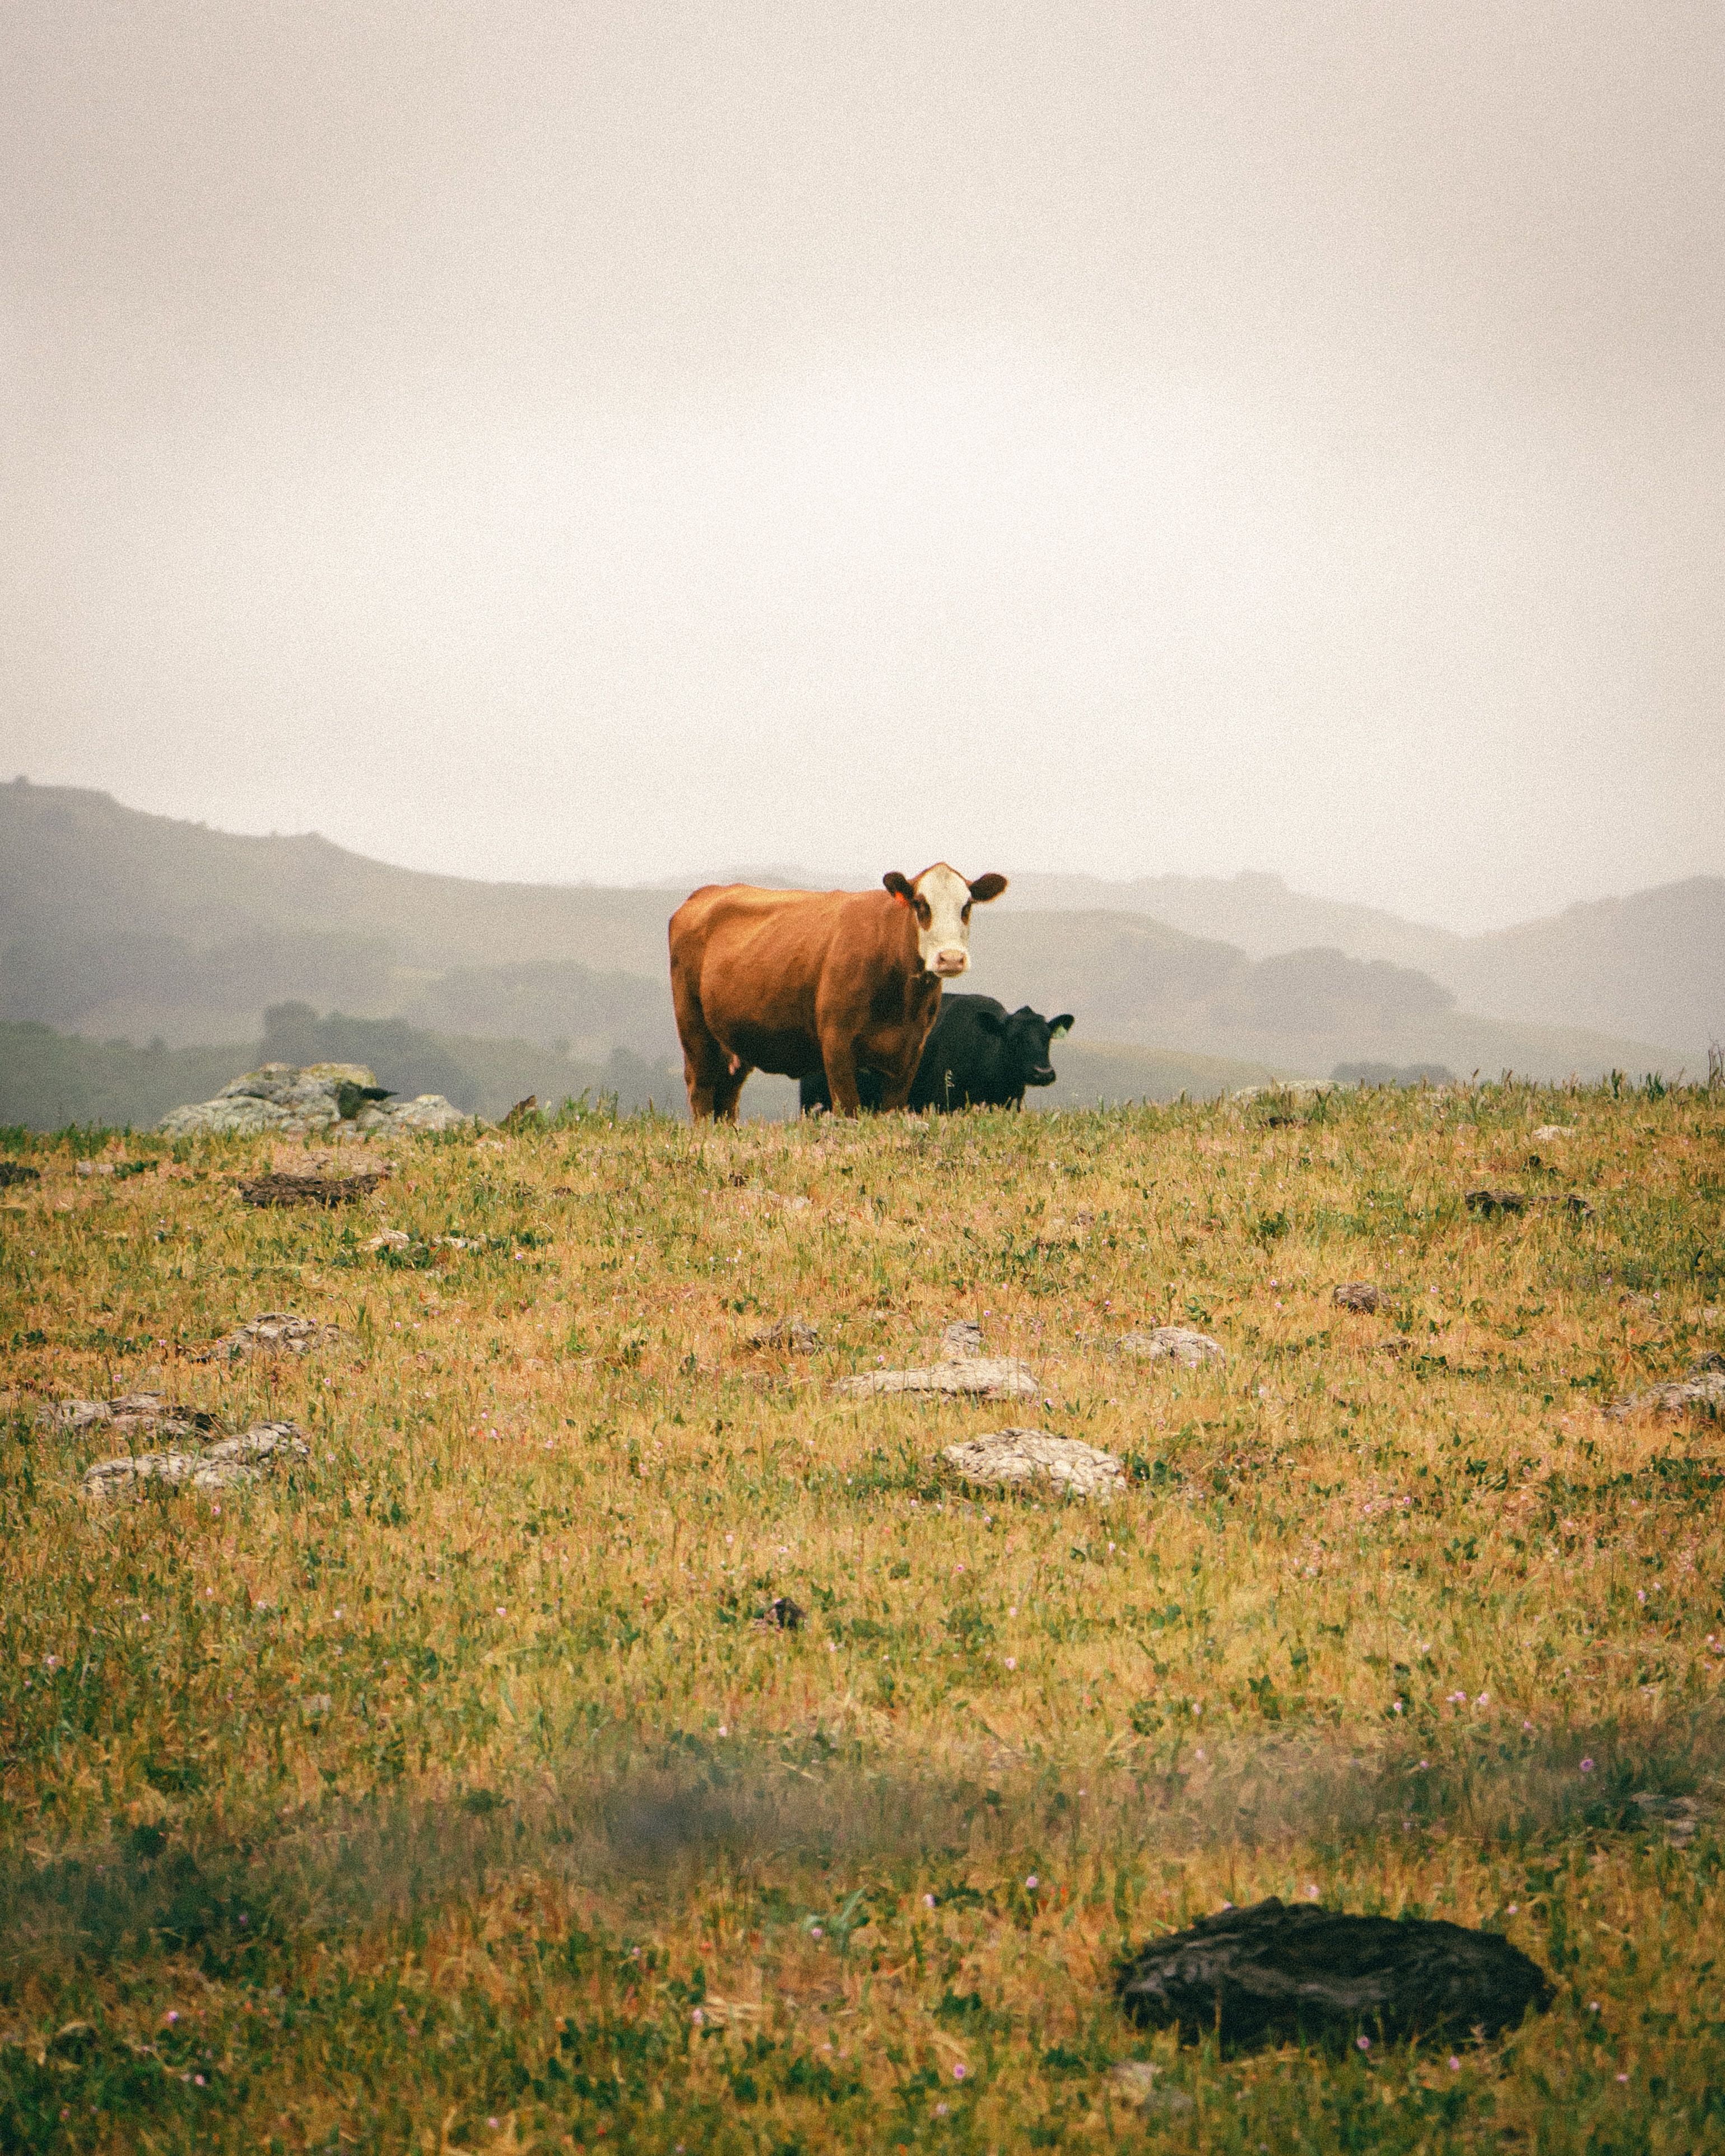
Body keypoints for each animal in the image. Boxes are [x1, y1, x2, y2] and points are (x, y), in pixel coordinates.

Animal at [668, 864, 1008, 1120]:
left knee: (727, 1095)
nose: (951, 958)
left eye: (966, 906)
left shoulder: (911, 1050)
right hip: (693, 1026)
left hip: (736, 1039)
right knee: (702, 1088)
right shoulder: (836, 1042)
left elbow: (892, 1110)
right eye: (920, 904)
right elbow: (849, 1109)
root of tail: (705, 893)